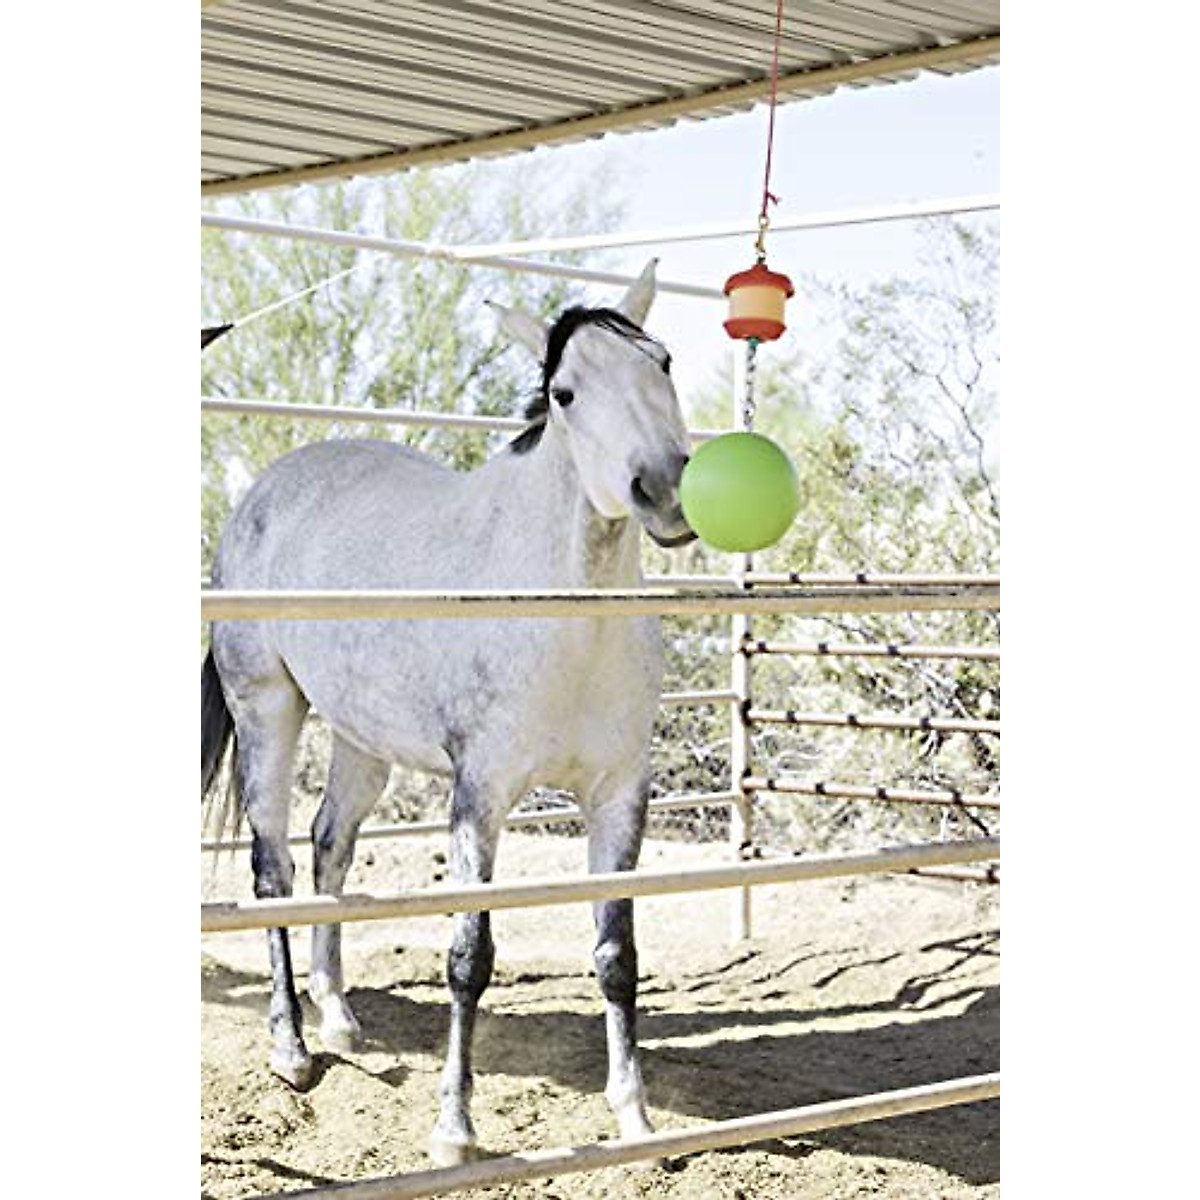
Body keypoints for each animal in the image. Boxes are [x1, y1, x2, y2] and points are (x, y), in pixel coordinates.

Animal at [201, 261, 697, 1166]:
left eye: (664, 362)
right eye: (565, 392)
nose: (664, 489)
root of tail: (265, 490)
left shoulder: (619, 795)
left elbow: (616, 955)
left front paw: (636, 1121)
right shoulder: (480, 795)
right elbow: (470, 955)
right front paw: (454, 1130)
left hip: (361, 739)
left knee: (330, 848)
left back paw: (339, 1018)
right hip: (269, 711)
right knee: (274, 868)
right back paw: (292, 1048)